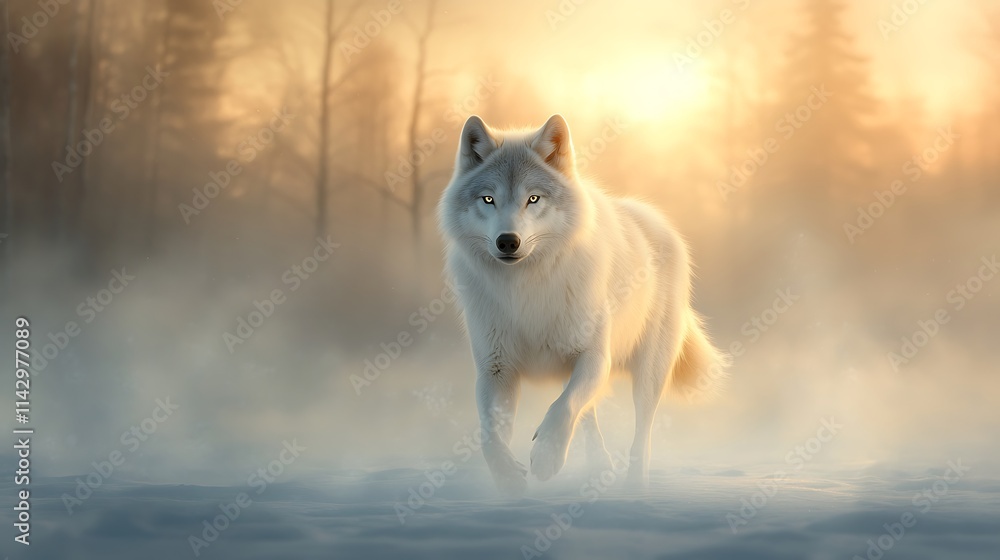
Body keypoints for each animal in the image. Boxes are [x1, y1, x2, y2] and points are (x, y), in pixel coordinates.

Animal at [437, 114, 728, 495]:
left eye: (533, 199)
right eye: (488, 199)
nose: (507, 241)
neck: (527, 288)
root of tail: (655, 220)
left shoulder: (594, 357)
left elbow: (564, 408)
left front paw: (547, 458)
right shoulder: (494, 370)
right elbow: (489, 436)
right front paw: (509, 480)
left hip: (648, 373)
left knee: (641, 434)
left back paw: (634, 487)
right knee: (589, 416)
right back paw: (598, 466)